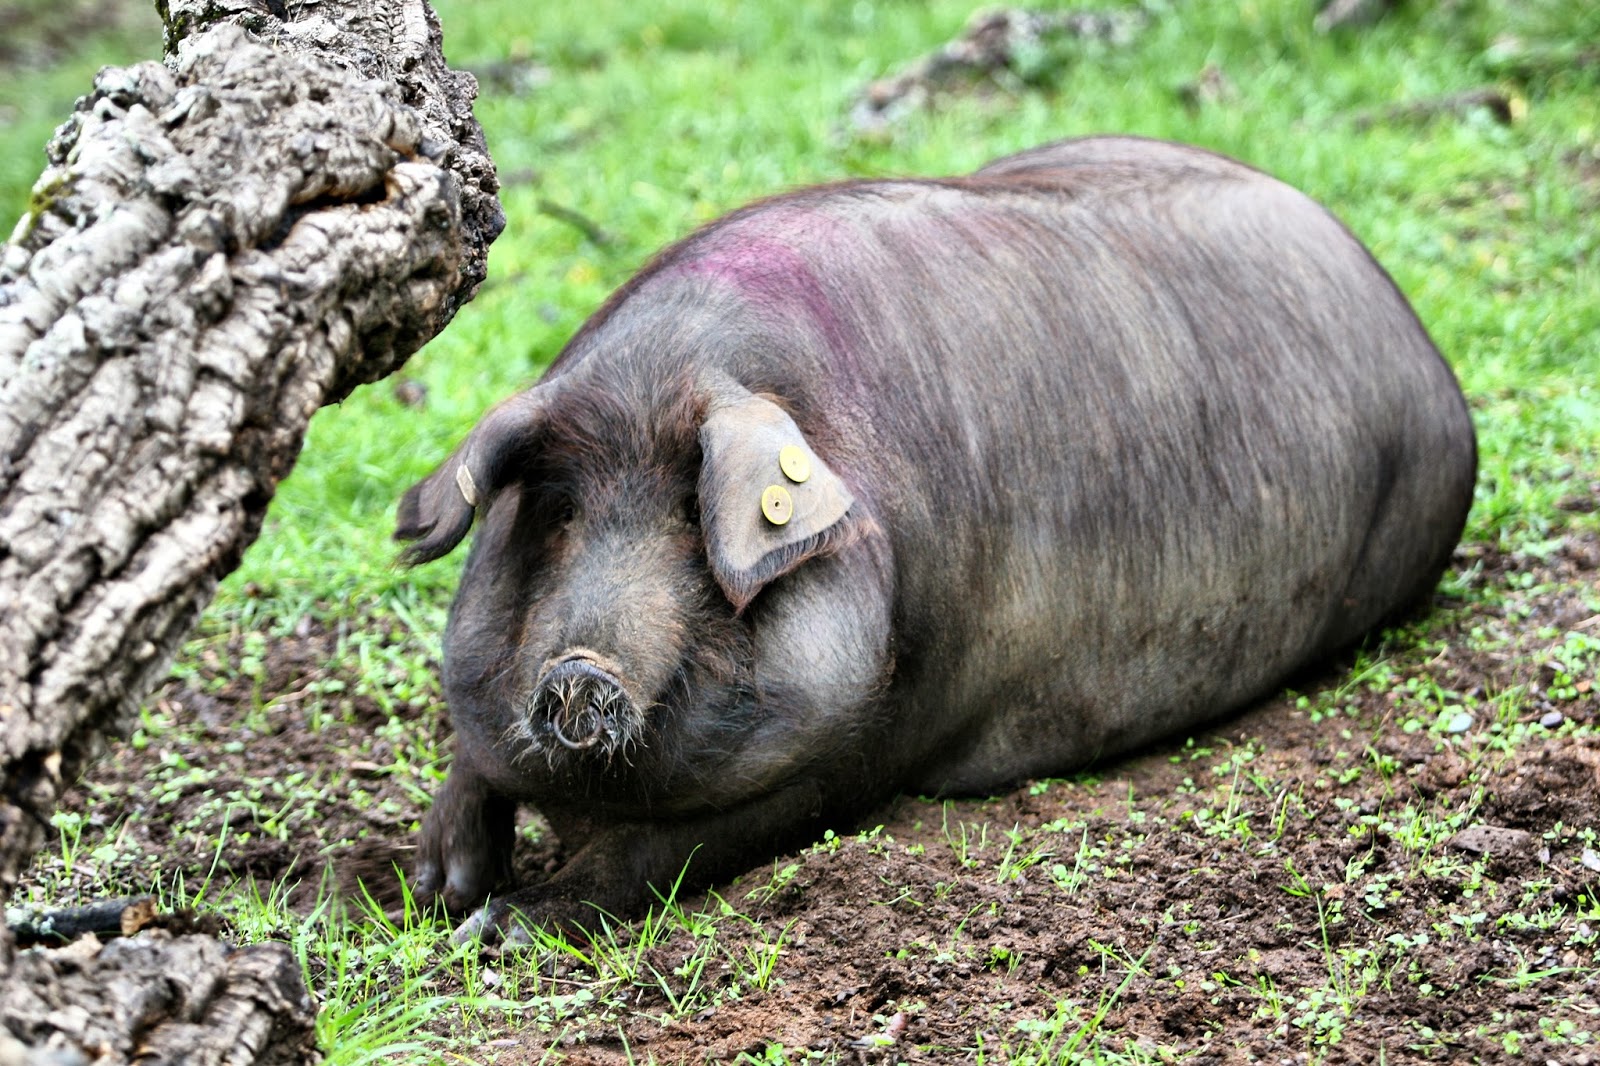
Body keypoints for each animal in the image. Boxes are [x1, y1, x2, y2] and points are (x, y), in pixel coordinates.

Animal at [395, 135, 1476, 940]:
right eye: (560, 514)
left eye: (693, 532)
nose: (579, 672)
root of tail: (1416, 330)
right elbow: (476, 755)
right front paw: (434, 888)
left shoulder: (865, 743)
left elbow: (665, 850)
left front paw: (497, 925)